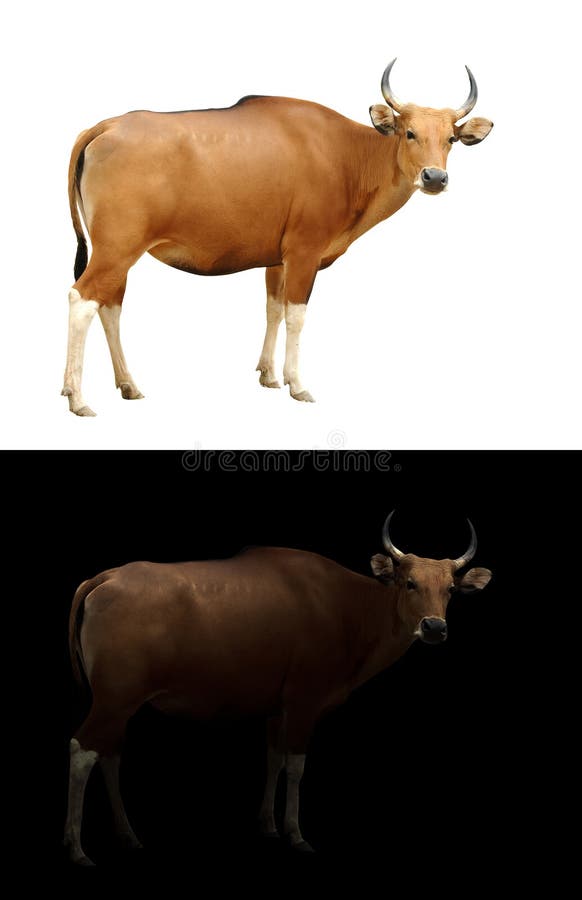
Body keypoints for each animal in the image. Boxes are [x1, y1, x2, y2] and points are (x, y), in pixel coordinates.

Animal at [62, 60, 493, 416]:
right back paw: (78, 397)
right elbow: (296, 315)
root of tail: (106, 126)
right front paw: (297, 384)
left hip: (118, 252)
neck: (349, 156)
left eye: (450, 139)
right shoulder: (304, 251)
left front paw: (269, 375)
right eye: (409, 133)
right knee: (82, 299)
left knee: (110, 306)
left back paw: (128, 385)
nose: (434, 177)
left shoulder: (276, 257)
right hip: (117, 248)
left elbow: (273, 308)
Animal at [64, 512, 492, 864]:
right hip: (114, 699)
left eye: (450, 590)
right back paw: (77, 848)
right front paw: (296, 834)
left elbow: (273, 759)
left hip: (118, 703)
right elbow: (297, 766)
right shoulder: (304, 701)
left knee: (110, 753)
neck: (349, 607)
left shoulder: (276, 705)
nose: (434, 627)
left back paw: (127, 836)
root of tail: (106, 577)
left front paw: (268, 825)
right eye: (409, 583)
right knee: (83, 749)